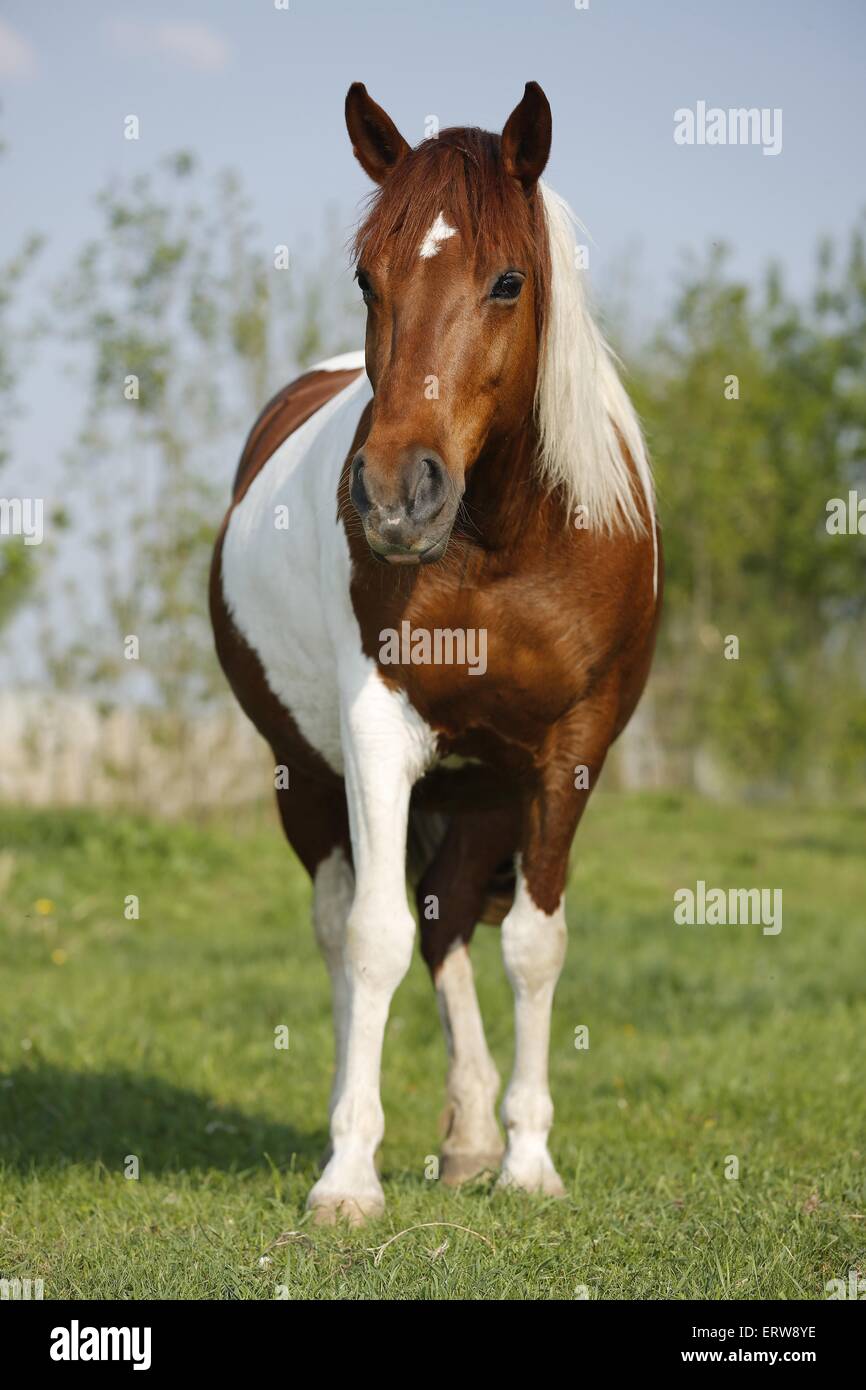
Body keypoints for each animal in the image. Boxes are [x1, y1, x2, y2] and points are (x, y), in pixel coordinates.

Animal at [210, 80, 662, 1225]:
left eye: (507, 280)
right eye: (367, 278)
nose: (391, 497)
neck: (507, 542)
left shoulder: (567, 750)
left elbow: (533, 946)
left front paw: (528, 1159)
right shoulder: (379, 732)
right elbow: (372, 939)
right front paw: (346, 1174)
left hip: (482, 788)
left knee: (451, 920)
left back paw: (468, 1135)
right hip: (309, 775)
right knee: (349, 930)